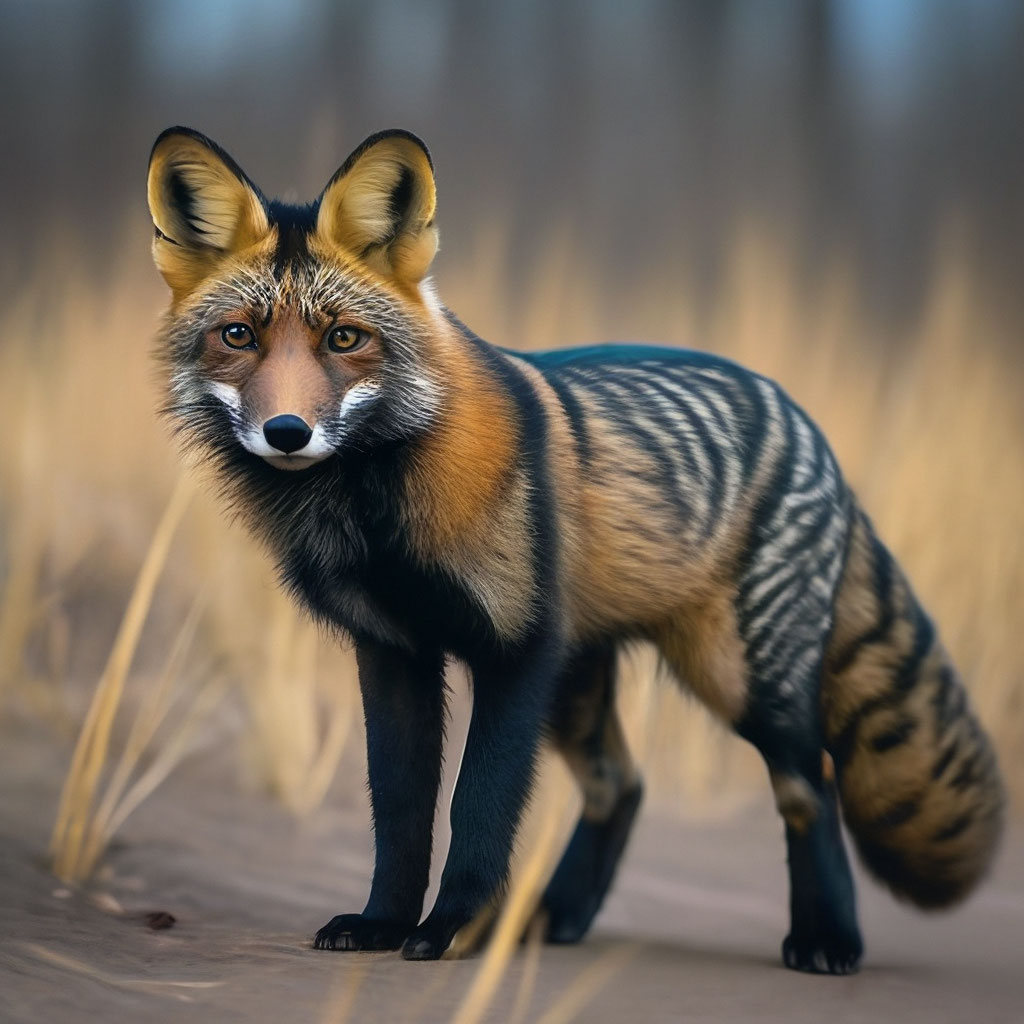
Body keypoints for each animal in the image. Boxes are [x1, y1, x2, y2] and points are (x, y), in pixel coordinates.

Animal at [146, 126, 1004, 974]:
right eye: (238, 337)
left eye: (344, 339)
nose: (287, 432)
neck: (375, 517)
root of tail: (804, 421)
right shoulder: (393, 652)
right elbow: (400, 811)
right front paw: (385, 923)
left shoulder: (517, 650)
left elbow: (478, 807)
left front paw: (452, 928)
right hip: (580, 682)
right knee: (621, 786)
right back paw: (556, 918)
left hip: (739, 679)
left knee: (812, 782)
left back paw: (830, 940)